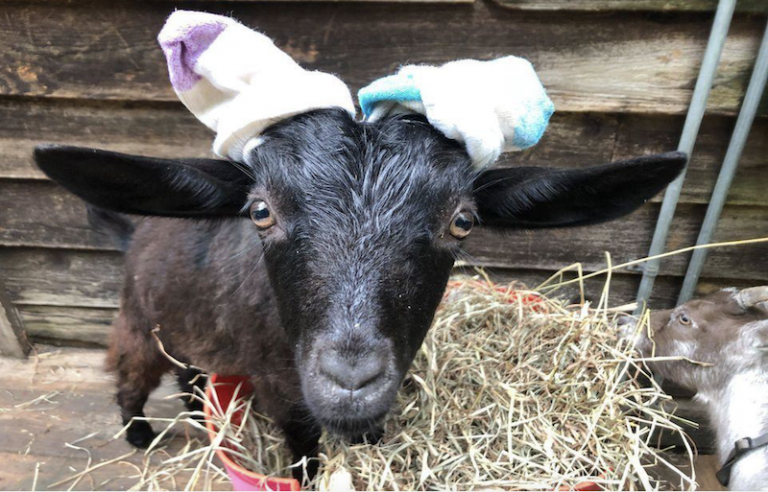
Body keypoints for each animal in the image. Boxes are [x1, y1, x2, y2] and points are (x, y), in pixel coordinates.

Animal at [34, 108, 685, 479]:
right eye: (260, 211)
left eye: (463, 221)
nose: (350, 378)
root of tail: (133, 231)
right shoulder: (280, 384)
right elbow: (301, 443)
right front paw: (307, 474)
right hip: (139, 322)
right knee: (131, 374)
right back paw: (138, 433)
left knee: (190, 374)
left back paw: (197, 416)